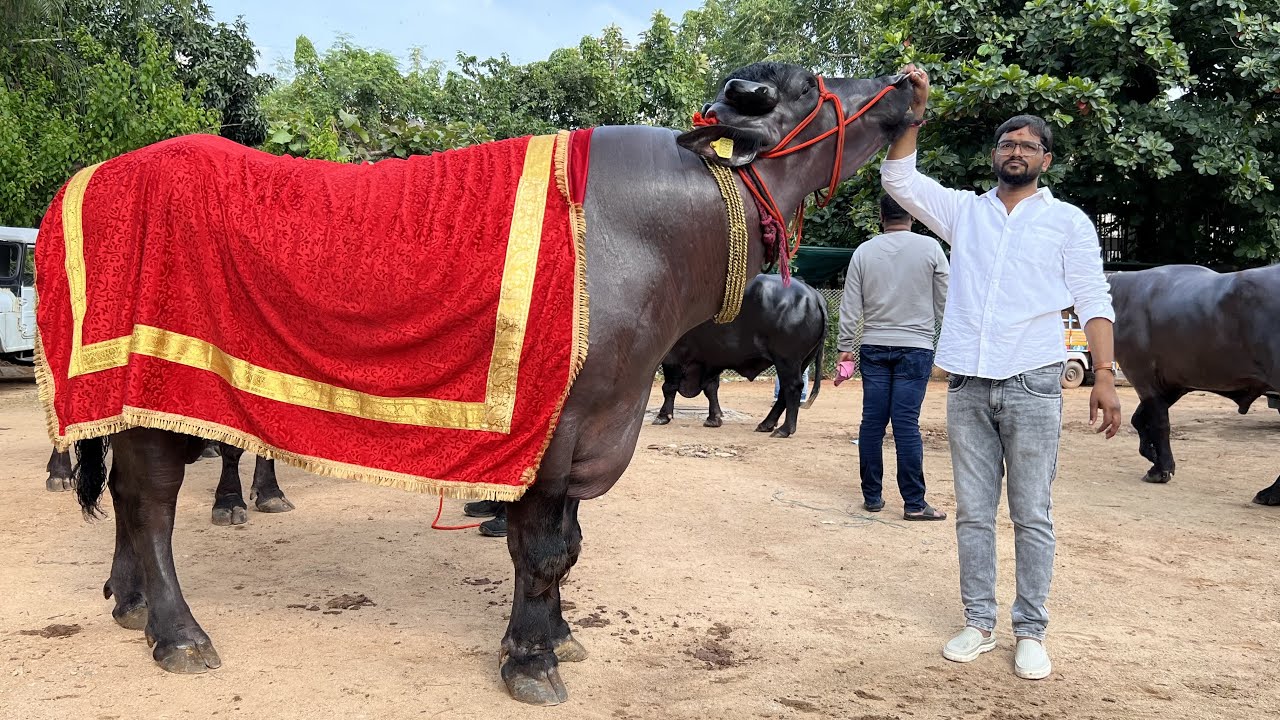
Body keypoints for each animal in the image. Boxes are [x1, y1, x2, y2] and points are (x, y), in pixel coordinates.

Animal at [653, 273, 825, 437]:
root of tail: (814, 295)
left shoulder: (672, 357)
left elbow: (669, 386)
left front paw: (662, 416)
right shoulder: (711, 358)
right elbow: (711, 389)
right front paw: (714, 418)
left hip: (787, 360)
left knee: (793, 387)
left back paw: (784, 429)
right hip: (801, 362)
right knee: (784, 390)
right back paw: (766, 424)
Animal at [1110, 264, 1280, 505]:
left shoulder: (1142, 377)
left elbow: (1159, 424)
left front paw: (1161, 469)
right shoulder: (1173, 385)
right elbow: (1139, 419)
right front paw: (1152, 455)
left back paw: (1271, 493)